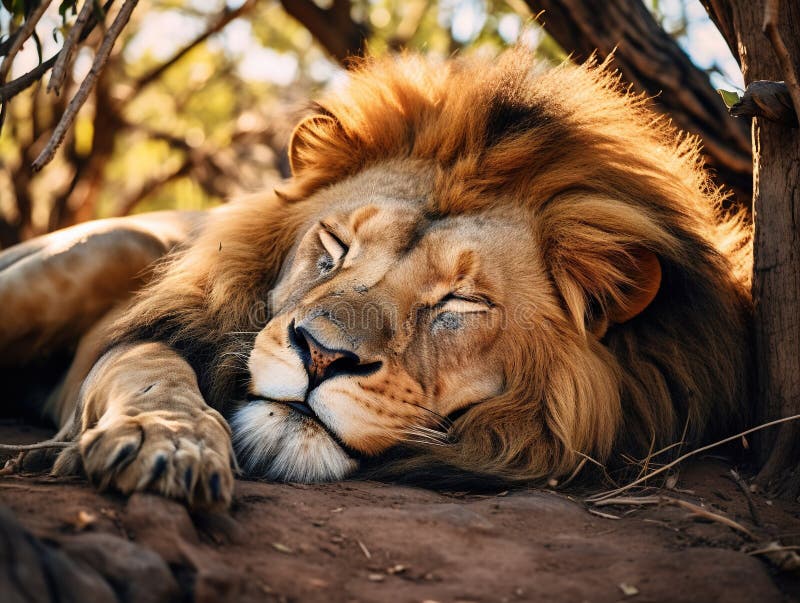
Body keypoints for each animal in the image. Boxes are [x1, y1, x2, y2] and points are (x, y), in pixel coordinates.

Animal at [0, 49, 752, 509]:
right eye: (334, 247)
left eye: (460, 302)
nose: (320, 355)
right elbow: (148, 363)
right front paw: (165, 441)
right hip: (103, 246)